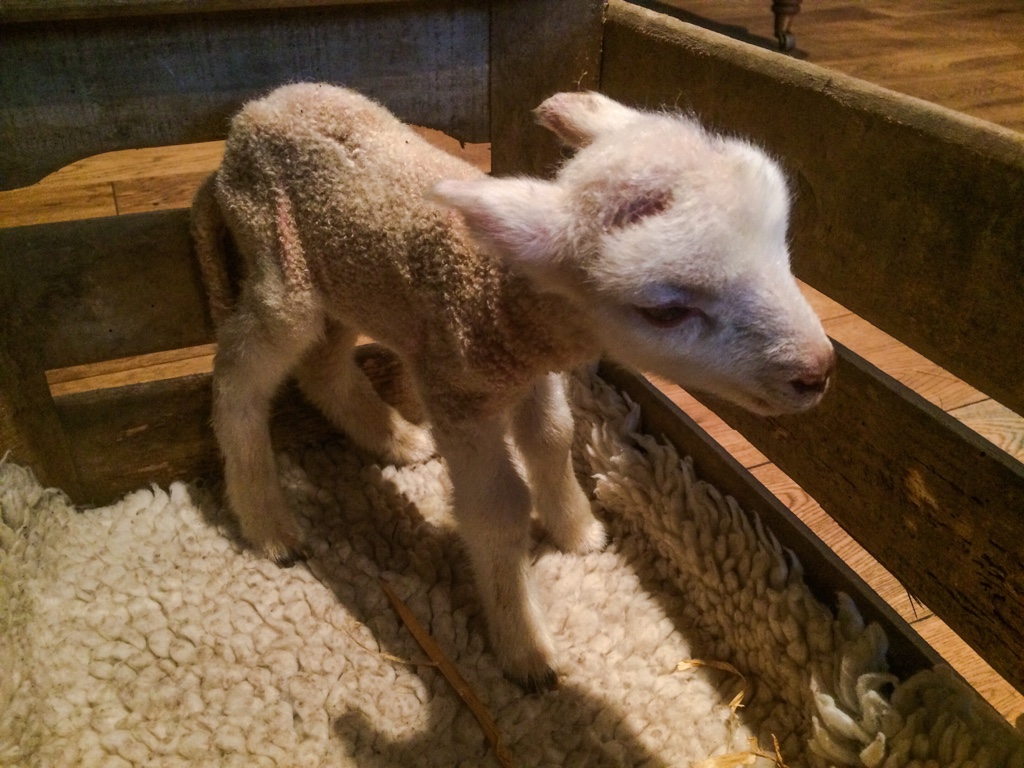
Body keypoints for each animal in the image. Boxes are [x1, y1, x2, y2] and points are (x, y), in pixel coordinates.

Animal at [190, 83, 835, 691]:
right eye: (666, 311)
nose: (820, 370)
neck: (502, 295)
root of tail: (252, 111)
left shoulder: (529, 375)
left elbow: (553, 437)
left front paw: (577, 529)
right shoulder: (456, 394)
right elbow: (498, 507)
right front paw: (525, 646)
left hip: (346, 275)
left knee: (322, 365)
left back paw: (396, 440)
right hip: (279, 265)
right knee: (239, 374)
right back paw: (268, 522)